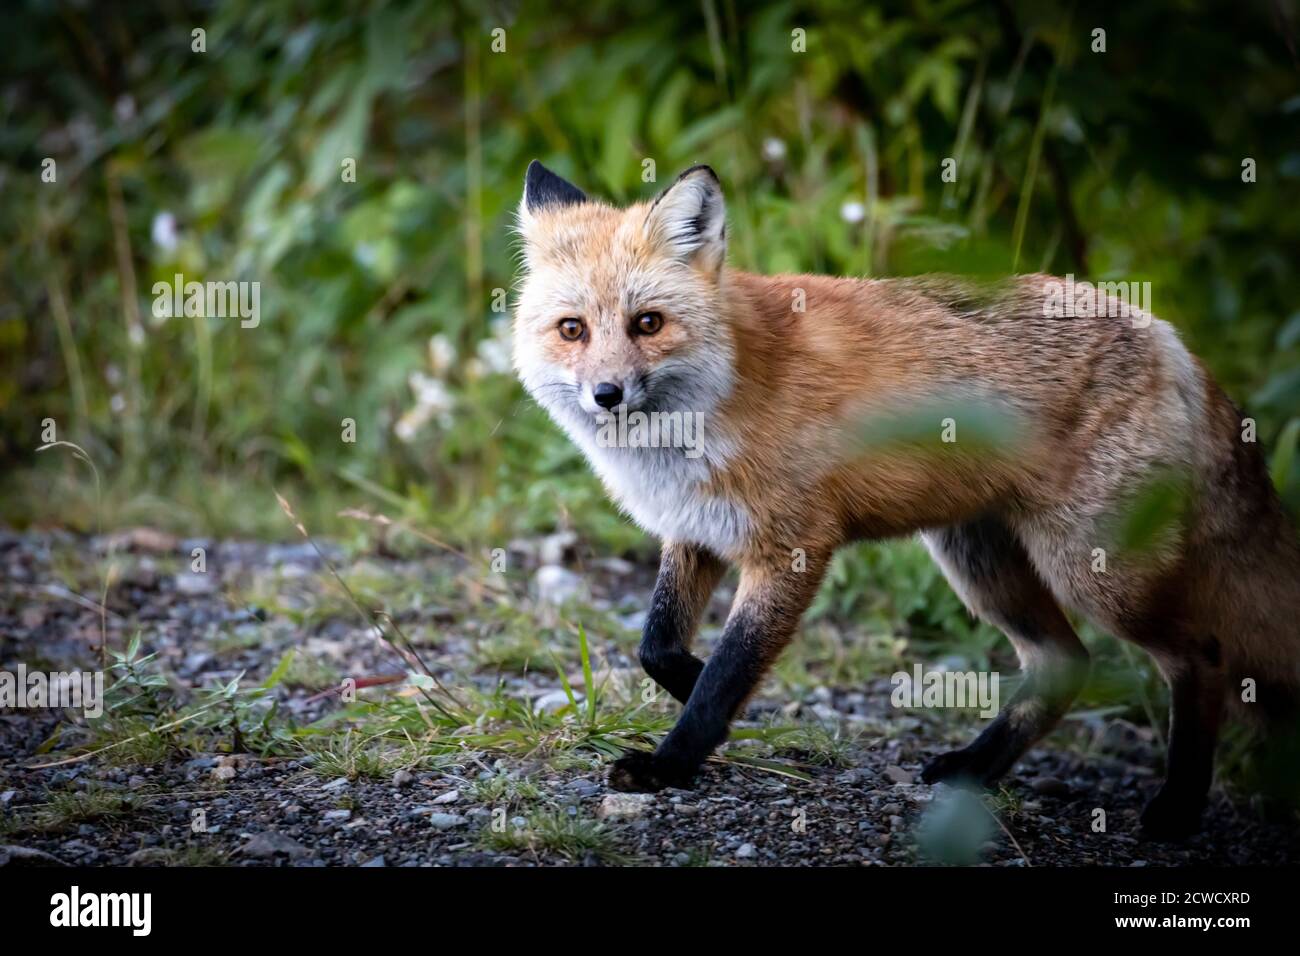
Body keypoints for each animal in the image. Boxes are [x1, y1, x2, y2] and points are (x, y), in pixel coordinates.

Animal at [511, 159, 1300, 838]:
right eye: (573, 329)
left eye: (647, 323)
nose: (606, 393)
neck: (715, 400)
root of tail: (1169, 337)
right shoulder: (695, 533)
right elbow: (658, 648)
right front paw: (705, 698)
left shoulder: (792, 547)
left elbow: (725, 673)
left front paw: (672, 763)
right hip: (977, 559)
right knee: (1064, 665)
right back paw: (976, 767)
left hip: (1096, 573)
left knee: (1203, 656)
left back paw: (1178, 806)